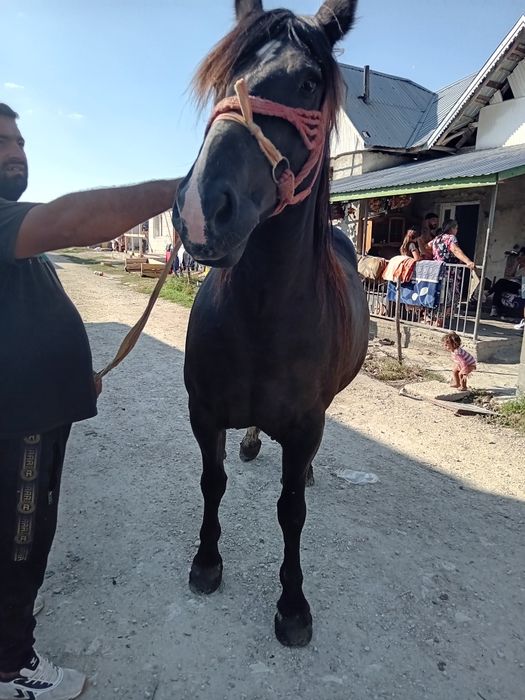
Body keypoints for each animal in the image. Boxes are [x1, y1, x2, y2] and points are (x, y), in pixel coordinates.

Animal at [172, 0, 369, 647]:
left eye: (308, 83)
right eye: (221, 80)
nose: (201, 210)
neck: (263, 315)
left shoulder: (307, 426)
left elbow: (291, 511)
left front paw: (293, 604)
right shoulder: (204, 412)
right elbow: (211, 483)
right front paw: (207, 562)